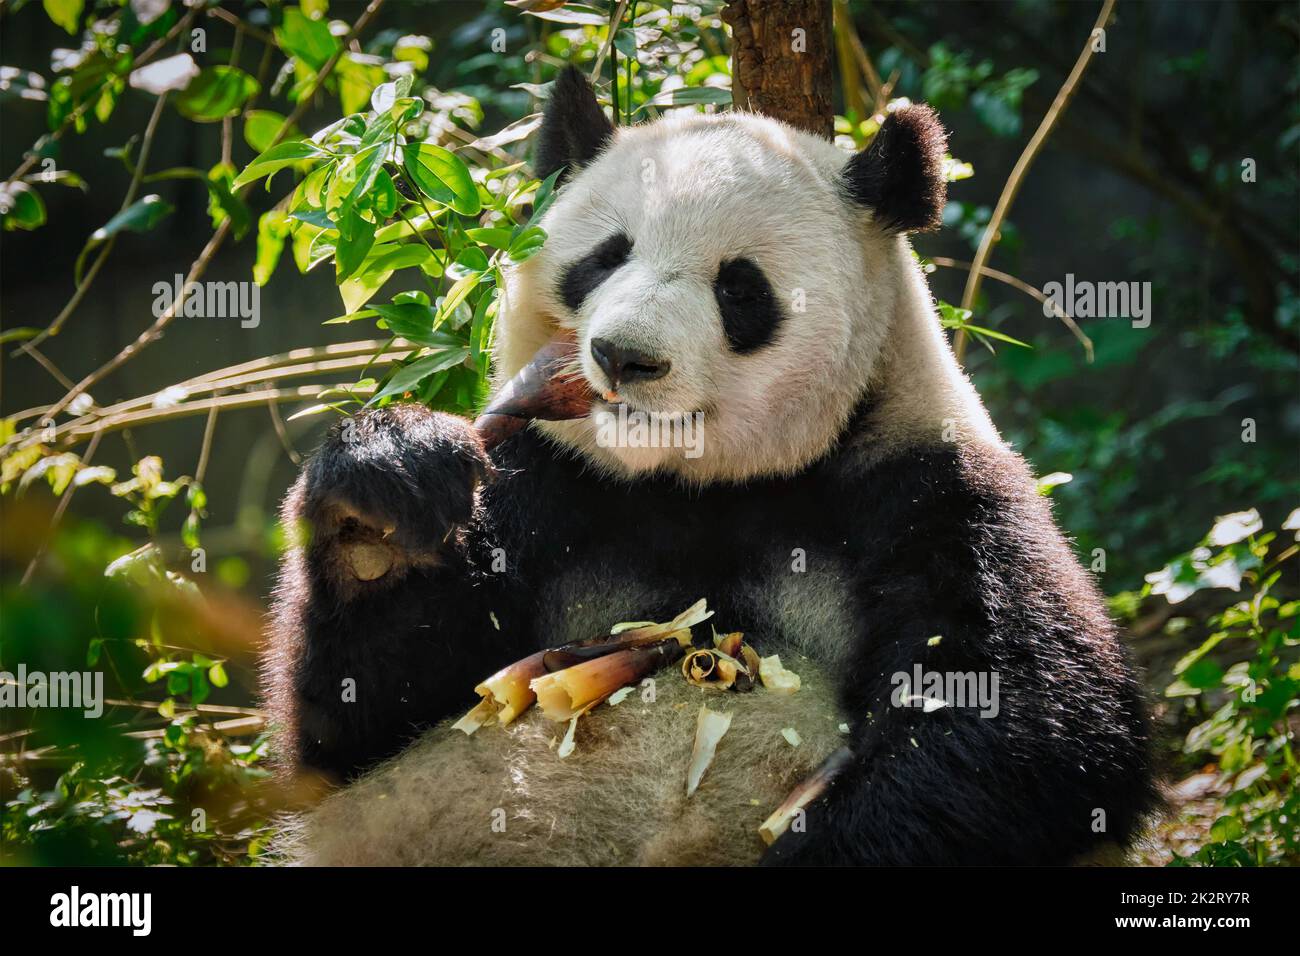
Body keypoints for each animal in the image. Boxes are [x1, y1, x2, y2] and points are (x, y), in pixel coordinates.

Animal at [263, 66, 1156, 866]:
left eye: (740, 287)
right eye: (604, 257)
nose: (623, 357)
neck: (696, 483)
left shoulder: (926, 484)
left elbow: (1022, 723)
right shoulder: (544, 480)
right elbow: (362, 724)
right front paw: (385, 499)